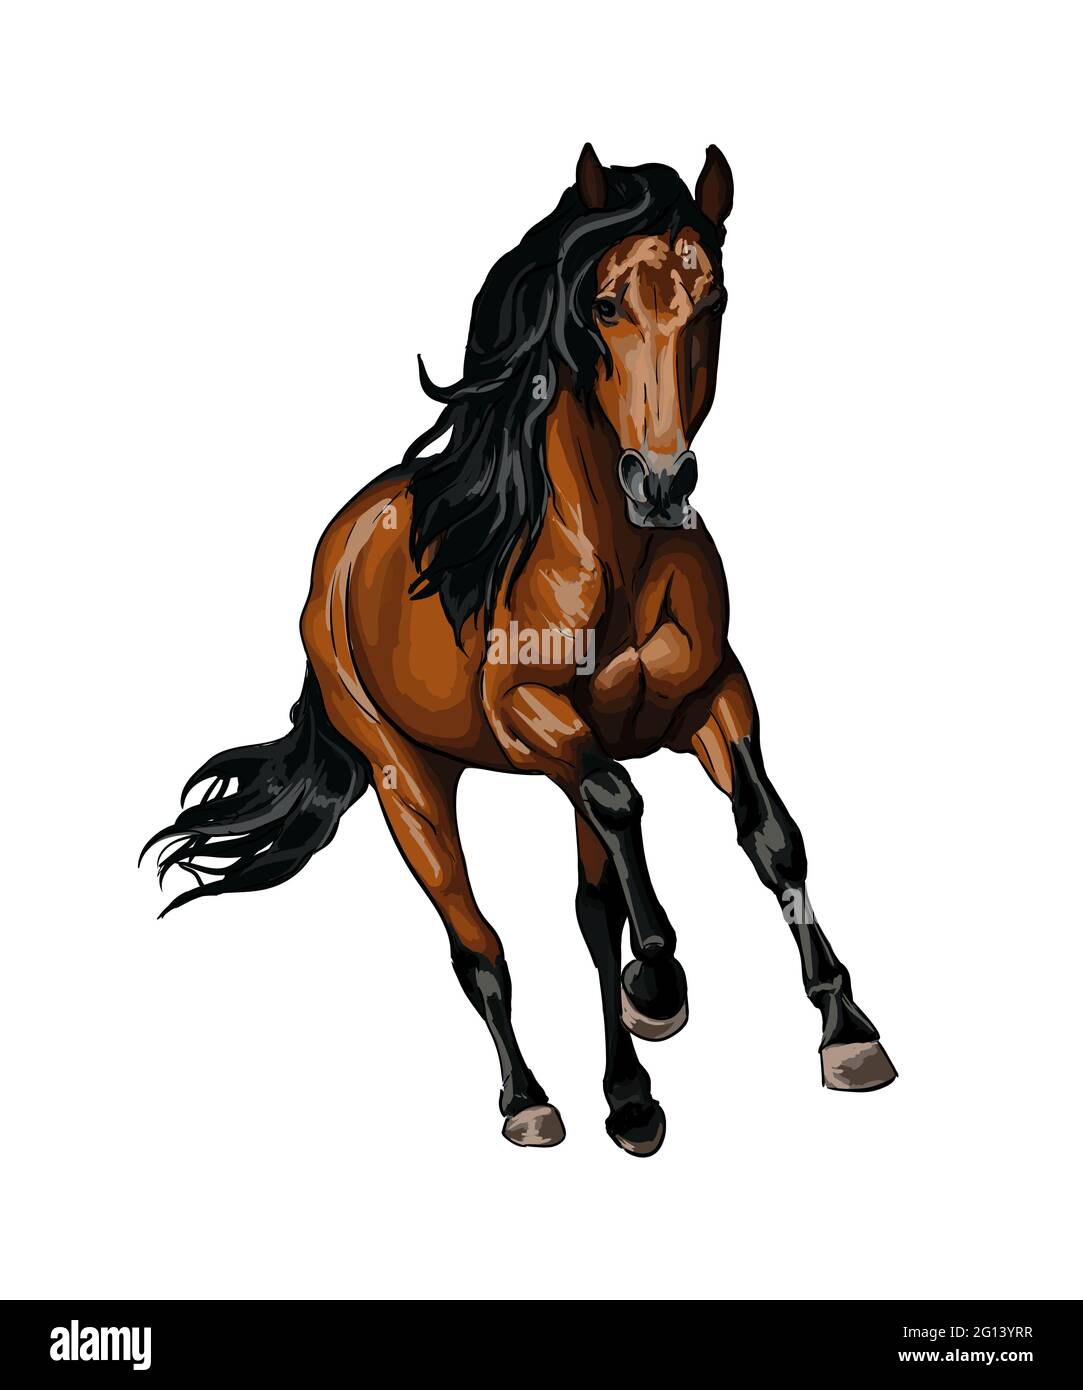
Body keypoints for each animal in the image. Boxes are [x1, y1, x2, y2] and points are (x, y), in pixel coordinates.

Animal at [143, 143, 896, 1157]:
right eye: (605, 306)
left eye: (714, 301)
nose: (662, 483)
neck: (614, 552)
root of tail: (338, 551)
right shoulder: (533, 717)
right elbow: (623, 812)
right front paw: (662, 986)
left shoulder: (713, 696)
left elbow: (768, 834)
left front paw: (845, 1032)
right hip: (409, 778)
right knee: (479, 946)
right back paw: (532, 1100)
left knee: (590, 909)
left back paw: (630, 1099)